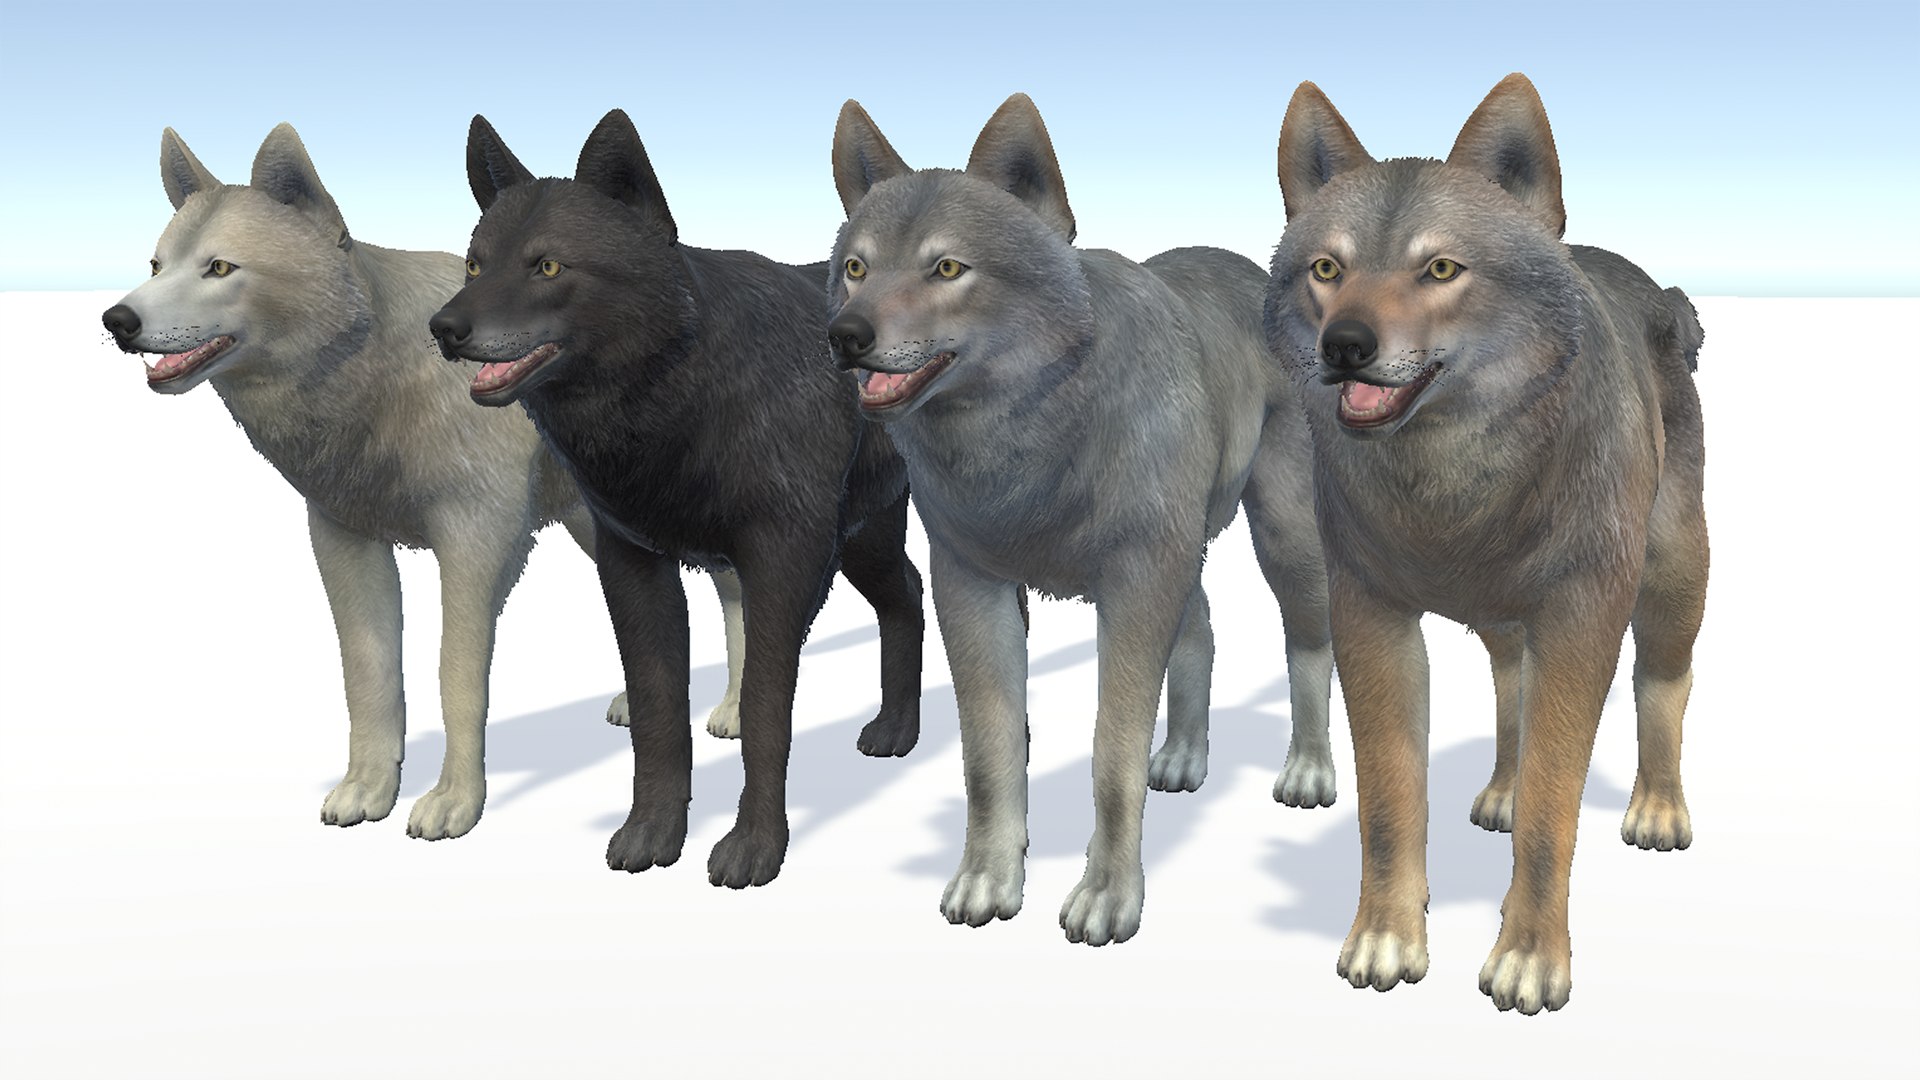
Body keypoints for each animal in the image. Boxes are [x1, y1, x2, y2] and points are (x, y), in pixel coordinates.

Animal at [100, 124, 744, 839]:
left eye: (219, 267)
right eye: (157, 267)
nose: (117, 321)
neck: (375, 376)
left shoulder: (475, 542)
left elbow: (455, 677)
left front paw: (456, 801)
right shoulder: (343, 540)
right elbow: (368, 673)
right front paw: (368, 787)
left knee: (733, 588)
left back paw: (733, 712)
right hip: (594, 523)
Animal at [430, 110, 924, 888]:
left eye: (547, 266)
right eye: (476, 264)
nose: (444, 329)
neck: (682, 397)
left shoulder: (784, 565)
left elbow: (764, 711)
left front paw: (755, 848)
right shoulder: (632, 565)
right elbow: (659, 712)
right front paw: (652, 835)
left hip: (854, 543)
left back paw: (900, 731)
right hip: (863, 544)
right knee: (906, 592)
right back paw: (897, 729)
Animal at [827, 94, 1335, 946]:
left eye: (947, 268)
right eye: (856, 269)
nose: (845, 337)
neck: (1029, 445)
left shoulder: (1132, 588)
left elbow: (1110, 757)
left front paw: (1107, 896)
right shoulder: (972, 587)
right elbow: (990, 754)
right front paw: (988, 879)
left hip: (1281, 541)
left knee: (1308, 646)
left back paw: (1309, 771)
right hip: (1180, 559)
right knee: (1202, 629)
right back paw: (1184, 759)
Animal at [1265, 74, 1709, 1013]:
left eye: (1439, 269)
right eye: (1328, 269)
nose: (1343, 346)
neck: (1453, 493)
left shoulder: (1583, 622)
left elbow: (1552, 806)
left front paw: (1531, 958)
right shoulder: (1371, 616)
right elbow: (1389, 801)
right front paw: (1387, 937)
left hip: (1670, 582)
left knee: (1664, 685)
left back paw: (1657, 808)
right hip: (1507, 622)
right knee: (1512, 688)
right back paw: (1499, 790)